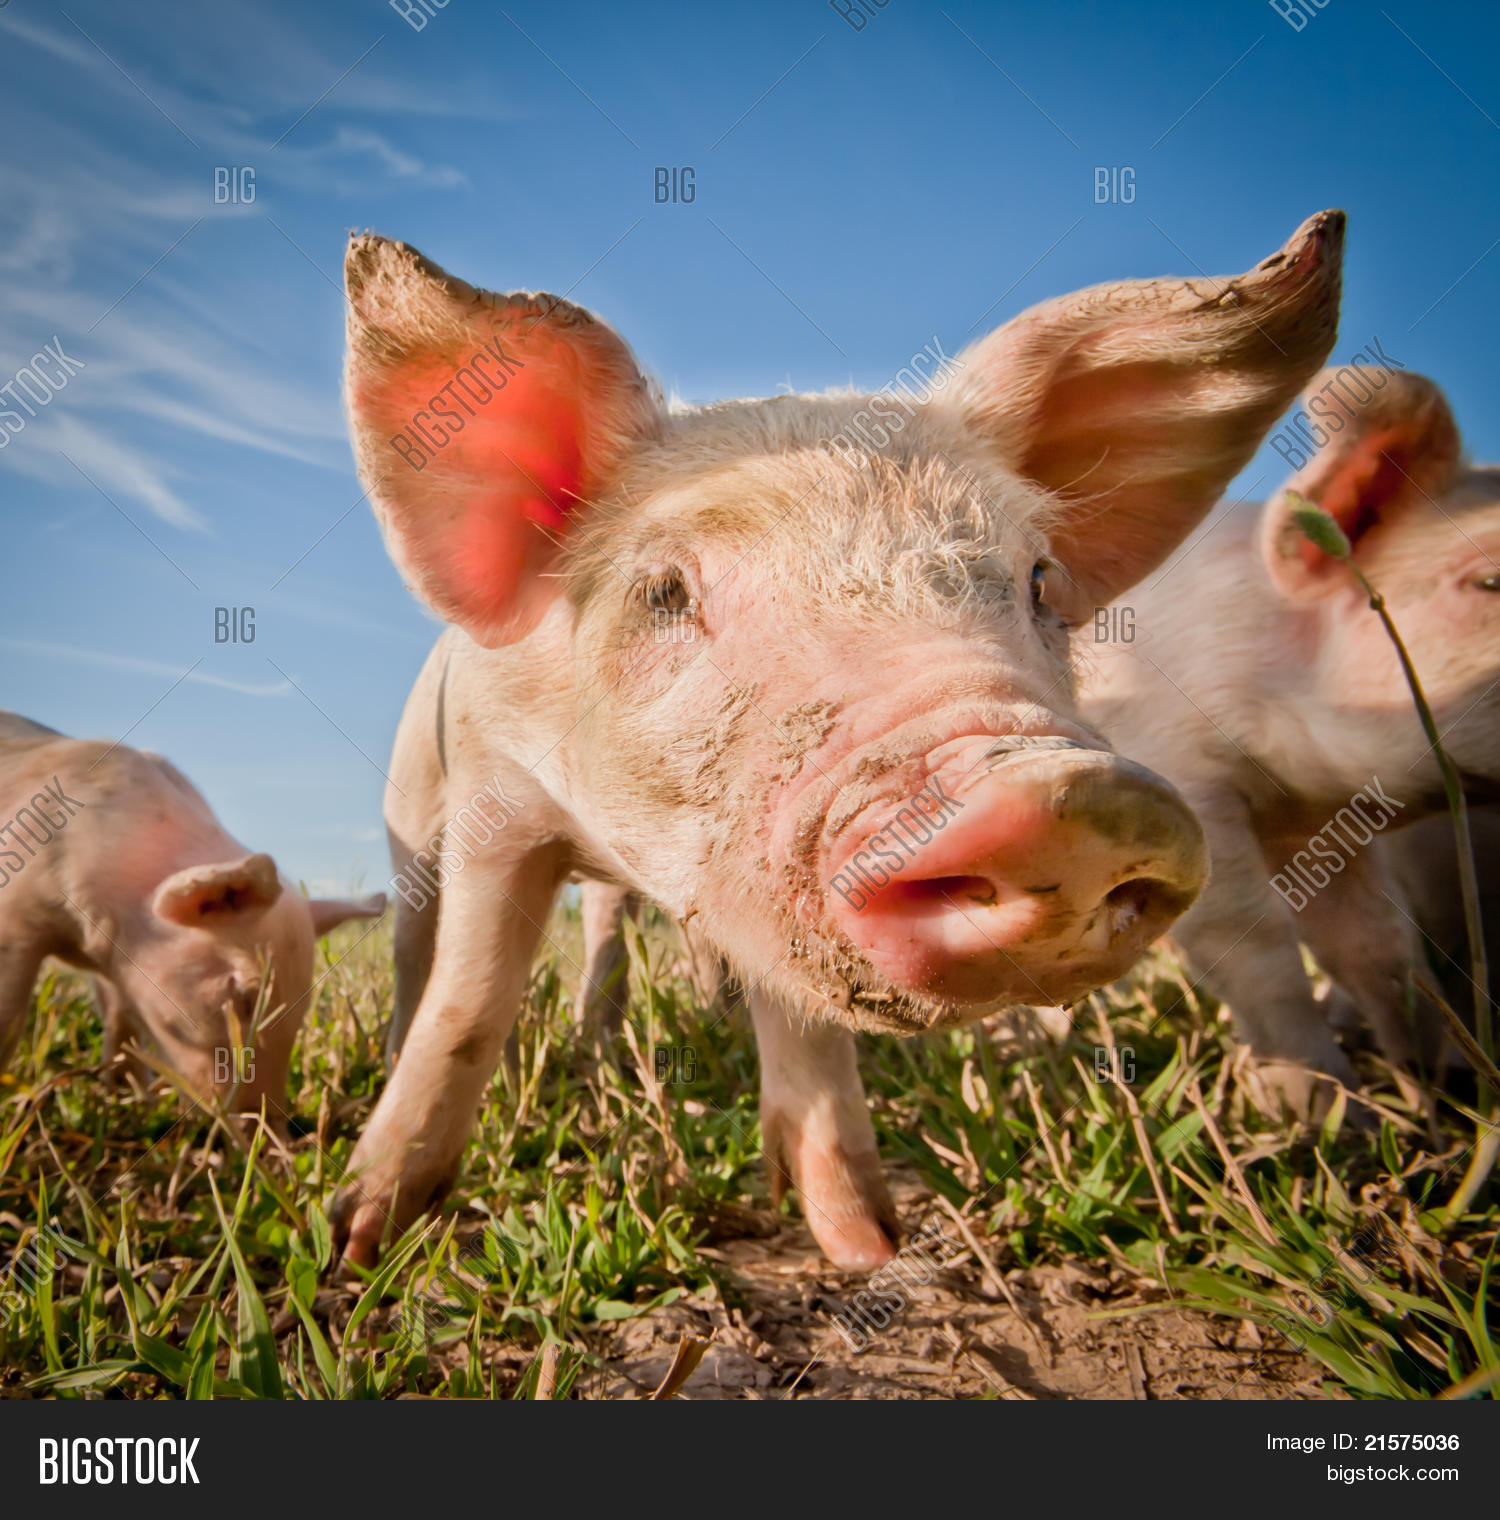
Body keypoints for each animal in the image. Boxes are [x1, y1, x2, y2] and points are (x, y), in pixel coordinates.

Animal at [0, 712, 384, 1116]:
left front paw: (133, 1099)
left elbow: (121, 1024)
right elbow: (9, 1019)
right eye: (243, 995)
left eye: (303, 1003)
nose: (262, 1123)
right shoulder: (17, 918)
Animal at [333, 211, 1343, 1269]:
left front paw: (865, 1243)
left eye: (1038, 579)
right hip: (411, 809)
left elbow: (805, 1025)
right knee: (417, 944)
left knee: (609, 930)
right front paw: (363, 1235)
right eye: (664, 591)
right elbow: (470, 998)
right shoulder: (493, 797)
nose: (1064, 797)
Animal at [1080, 368, 1500, 1113]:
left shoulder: (1322, 824)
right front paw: (1321, 1112)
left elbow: (1377, 945)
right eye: (1489, 581)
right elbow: (1254, 940)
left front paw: (1425, 1095)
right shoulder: (1176, 770)